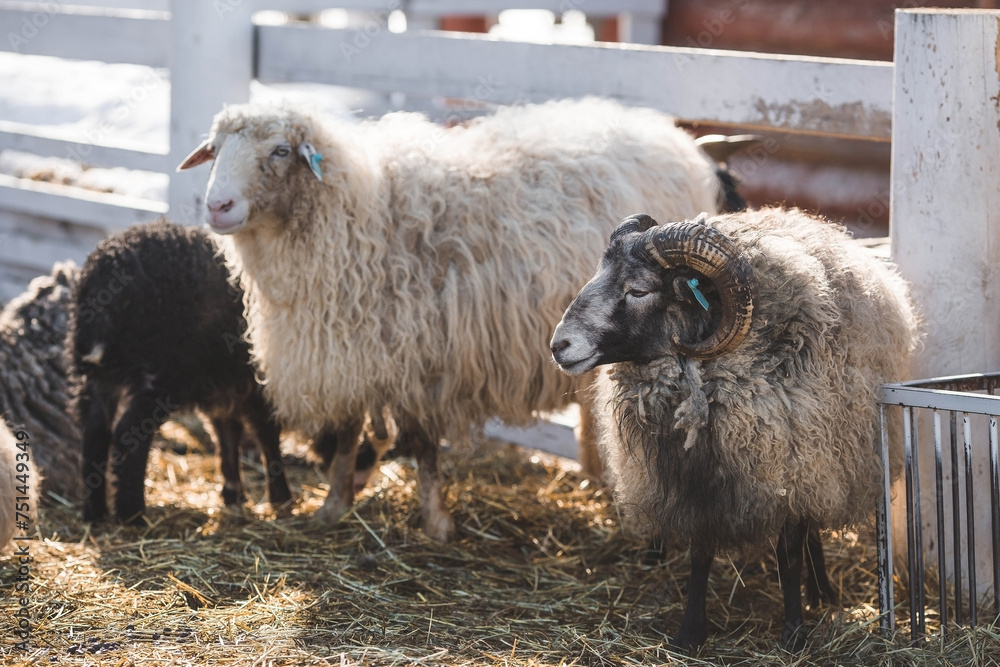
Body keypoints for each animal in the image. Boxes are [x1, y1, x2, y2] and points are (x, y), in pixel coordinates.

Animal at [176, 97, 732, 541]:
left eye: (280, 151)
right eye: (214, 148)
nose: (217, 206)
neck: (357, 216)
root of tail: (668, 133)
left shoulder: (422, 363)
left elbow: (423, 447)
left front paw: (436, 524)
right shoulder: (351, 353)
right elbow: (350, 435)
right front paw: (332, 508)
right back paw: (595, 476)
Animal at [549, 207, 919, 651]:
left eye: (638, 290)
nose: (558, 346)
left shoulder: (793, 464)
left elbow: (789, 554)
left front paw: (794, 633)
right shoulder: (700, 483)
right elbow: (701, 553)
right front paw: (690, 632)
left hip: (820, 459)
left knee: (810, 526)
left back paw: (821, 591)